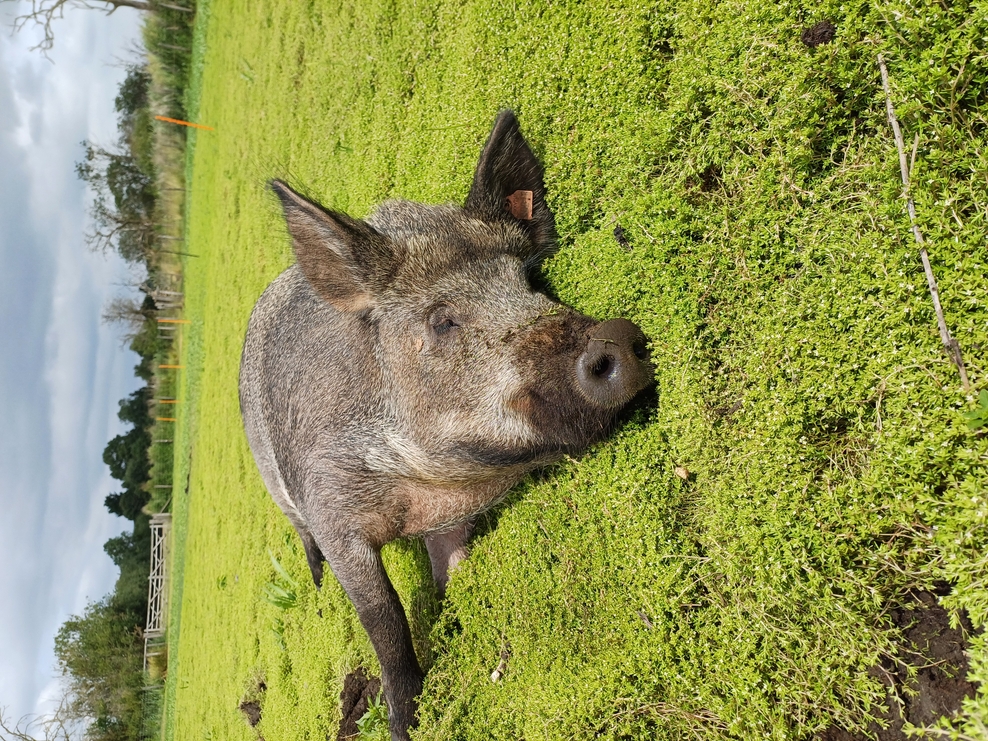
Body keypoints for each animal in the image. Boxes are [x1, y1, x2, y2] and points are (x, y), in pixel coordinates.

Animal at [239, 110, 654, 740]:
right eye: (442, 321)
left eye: (532, 283)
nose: (616, 339)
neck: (438, 489)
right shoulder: (331, 506)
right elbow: (382, 618)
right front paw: (404, 721)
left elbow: (449, 571)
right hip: (274, 483)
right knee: (299, 535)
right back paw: (313, 581)